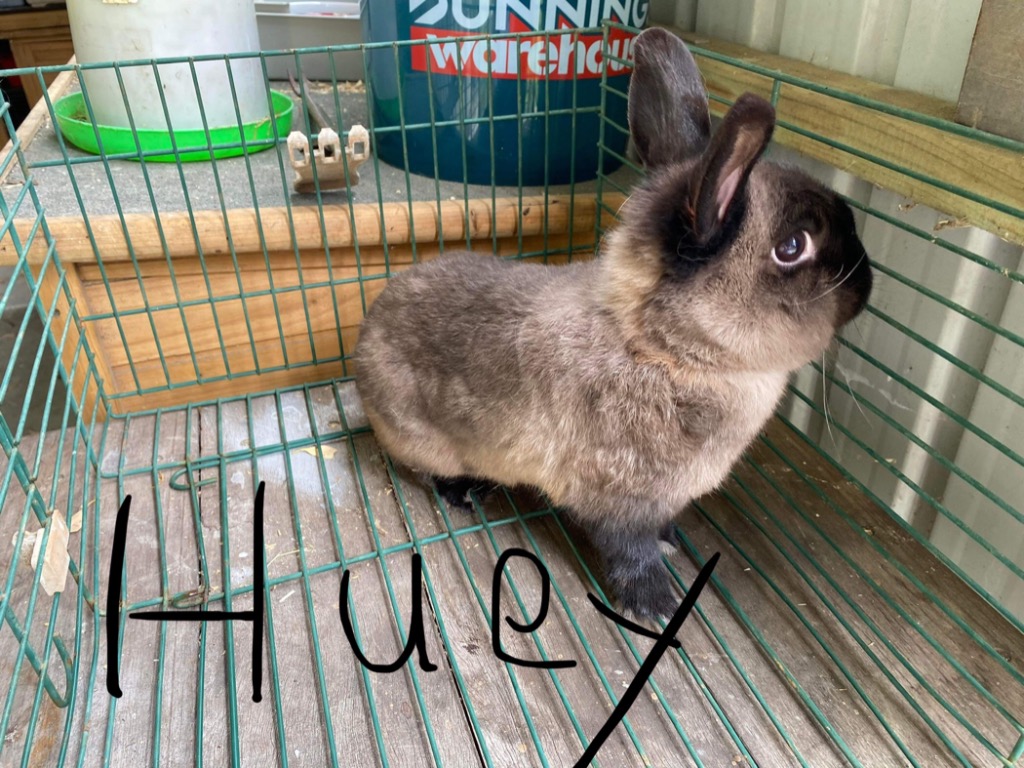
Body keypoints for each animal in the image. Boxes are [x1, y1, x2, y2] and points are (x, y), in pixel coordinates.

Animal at [353, 28, 872, 619]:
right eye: (792, 247)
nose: (867, 283)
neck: (664, 348)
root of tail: (363, 343)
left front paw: (671, 541)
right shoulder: (616, 499)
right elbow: (628, 550)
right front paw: (657, 604)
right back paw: (465, 491)